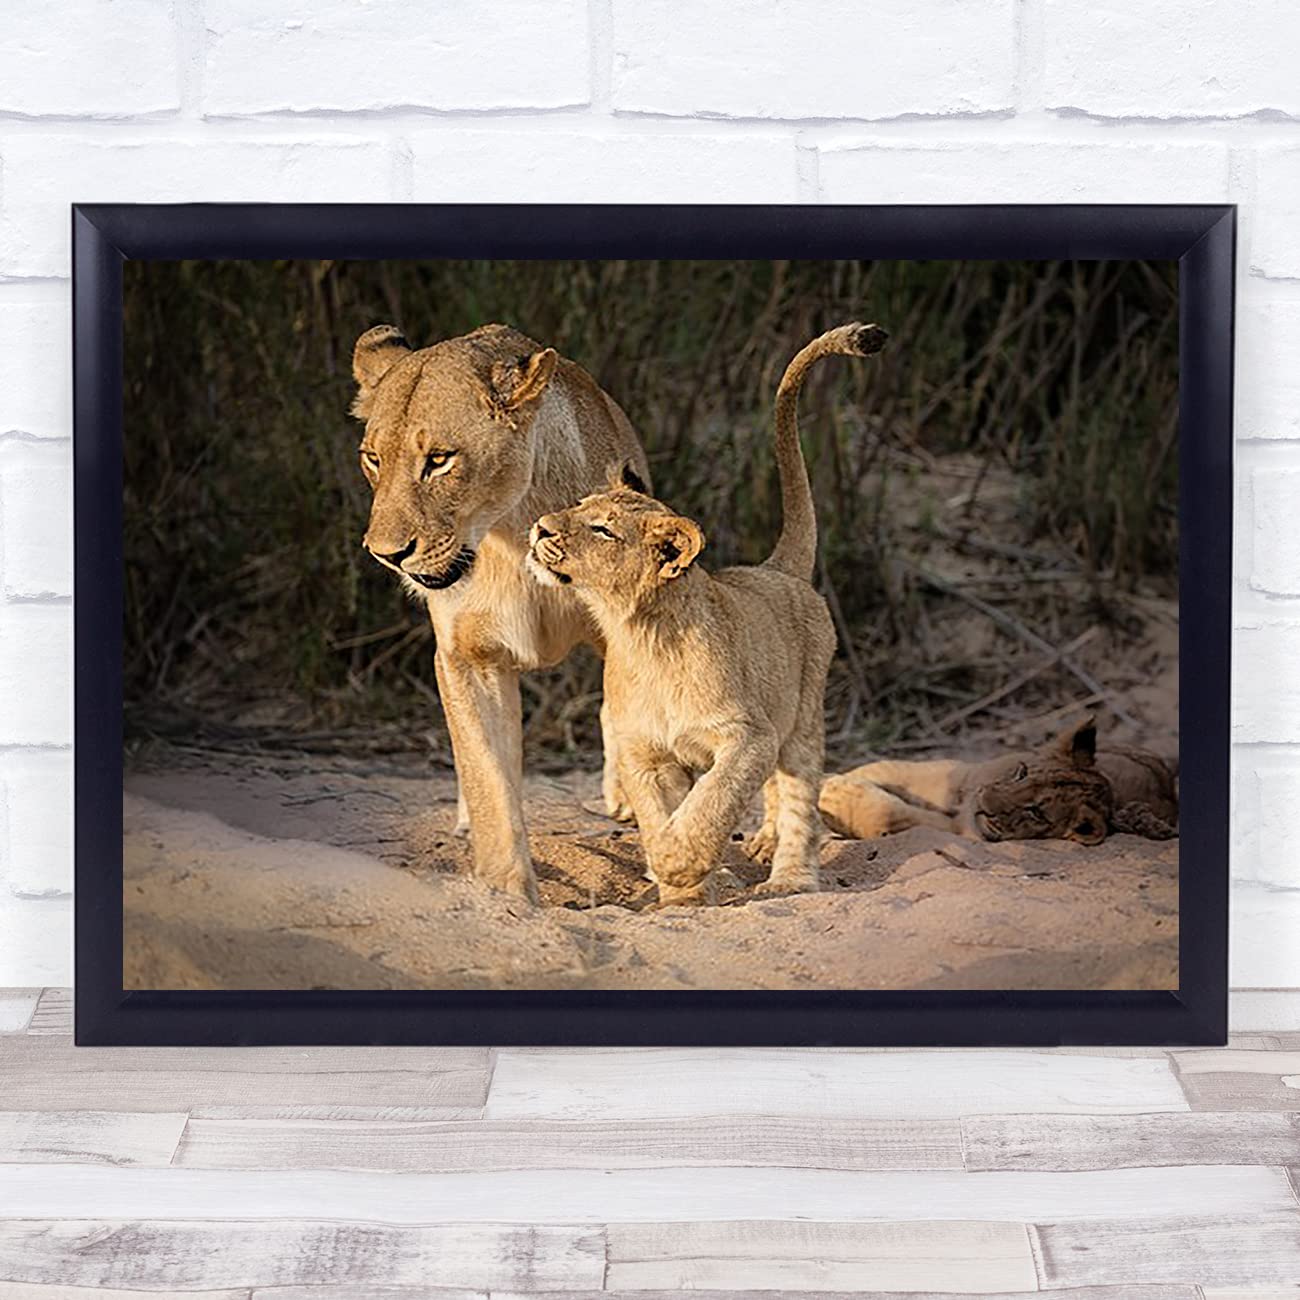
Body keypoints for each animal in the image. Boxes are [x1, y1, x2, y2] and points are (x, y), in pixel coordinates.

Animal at [352, 322, 650, 901]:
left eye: (439, 459)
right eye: (373, 458)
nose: (386, 554)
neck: (508, 532)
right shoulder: (467, 659)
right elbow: (489, 773)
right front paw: (507, 890)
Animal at [528, 323, 888, 904]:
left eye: (603, 529)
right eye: (579, 506)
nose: (539, 527)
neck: (640, 632)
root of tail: (775, 569)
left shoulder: (749, 735)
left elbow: (711, 802)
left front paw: (680, 865)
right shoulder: (644, 751)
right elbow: (659, 814)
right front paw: (680, 885)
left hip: (802, 717)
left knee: (798, 795)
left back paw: (787, 877)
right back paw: (761, 846)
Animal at [817, 716, 1178, 846]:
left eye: (1036, 812)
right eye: (1021, 772)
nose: (986, 802)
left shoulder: (961, 828)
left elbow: (892, 815)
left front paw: (834, 796)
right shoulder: (954, 774)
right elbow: (883, 769)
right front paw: (829, 779)